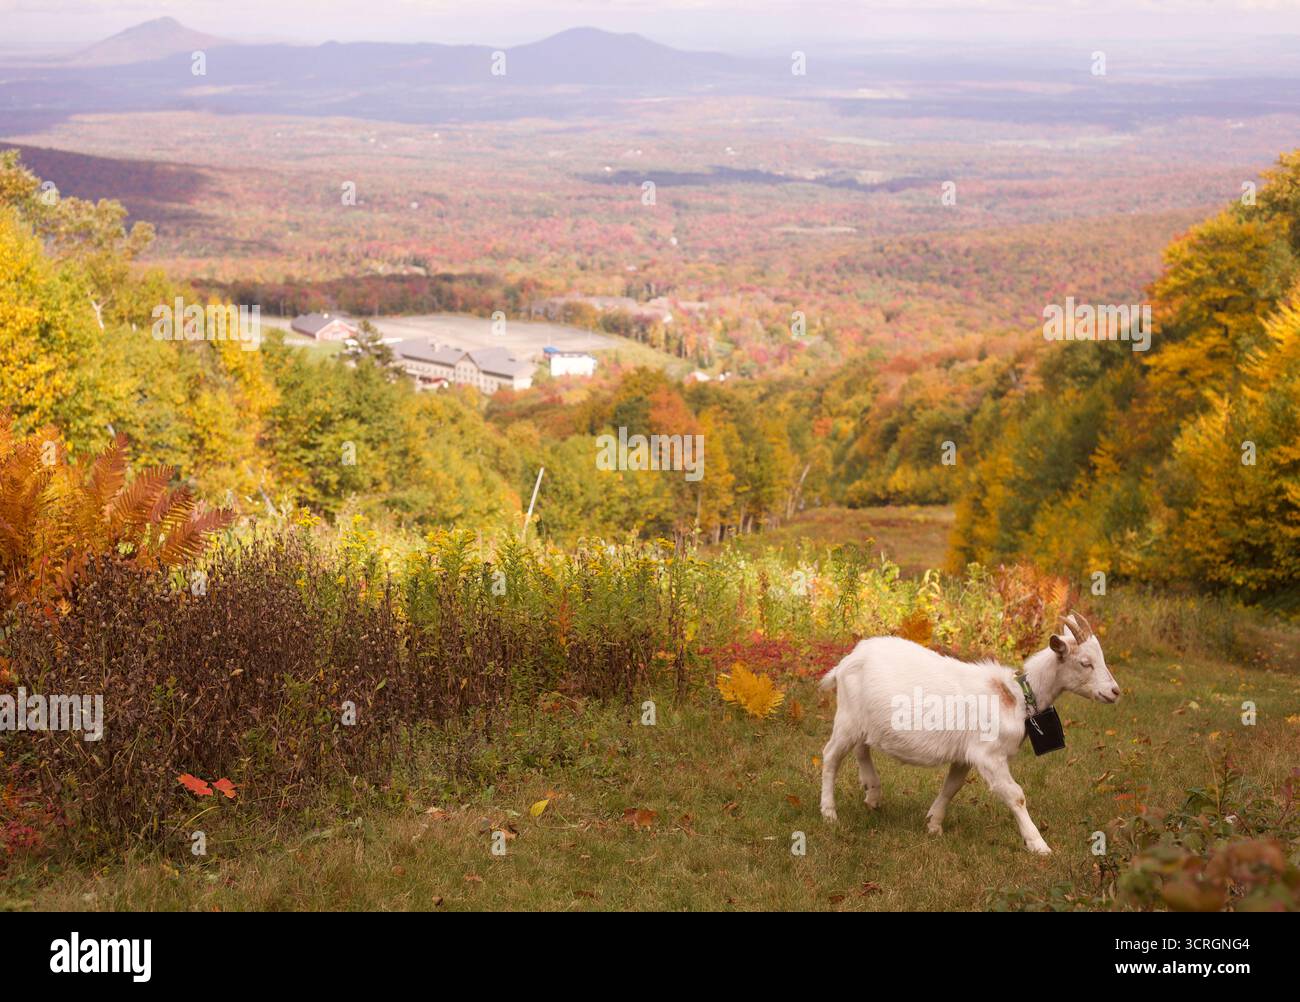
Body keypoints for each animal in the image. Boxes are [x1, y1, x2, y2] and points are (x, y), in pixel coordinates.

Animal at [816, 612, 1119, 854]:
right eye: (1085, 662)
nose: (1115, 691)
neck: (1016, 697)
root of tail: (847, 661)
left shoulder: (965, 755)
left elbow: (952, 787)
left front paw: (934, 824)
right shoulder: (988, 754)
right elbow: (1016, 795)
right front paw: (1039, 845)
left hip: (863, 720)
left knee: (861, 747)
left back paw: (872, 793)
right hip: (847, 718)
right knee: (831, 756)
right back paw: (829, 813)